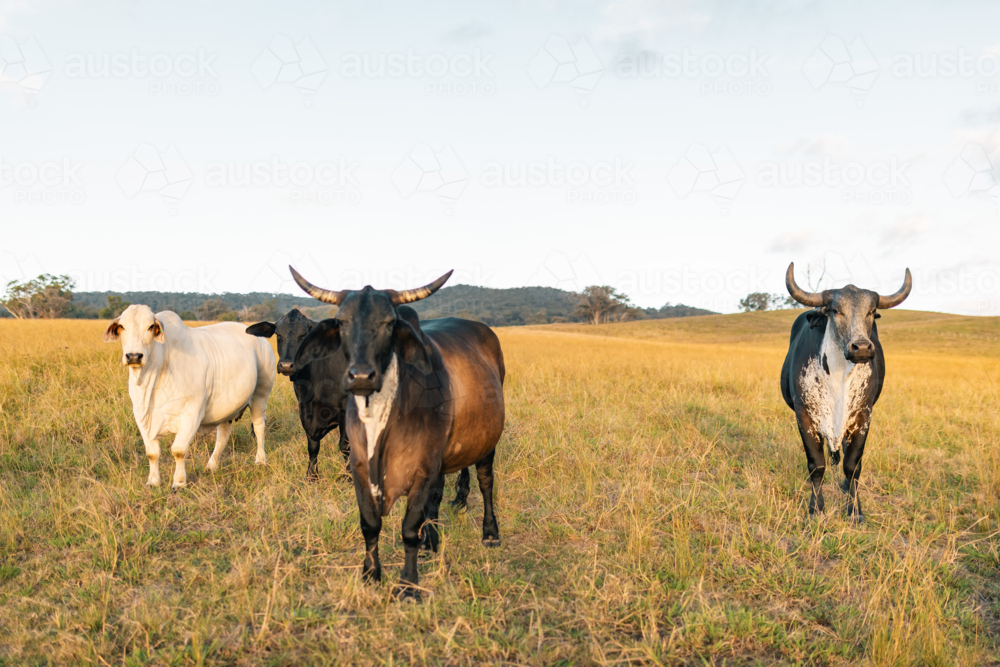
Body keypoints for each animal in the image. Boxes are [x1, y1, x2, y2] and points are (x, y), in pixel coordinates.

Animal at [103, 304, 276, 489]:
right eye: (122, 326)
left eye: (150, 327)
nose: (134, 356)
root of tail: (260, 339)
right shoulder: (142, 417)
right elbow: (152, 453)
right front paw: (153, 482)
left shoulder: (192, 414)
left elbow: (178, 451)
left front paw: (179, 483)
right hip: (227, 407)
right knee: (223, 433)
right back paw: (212, 465)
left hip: (261, 394)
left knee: (258, 427)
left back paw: (260, 460)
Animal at [290, 267, 505, 599]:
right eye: (341, 321)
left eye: (390, 323)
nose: (361, 376)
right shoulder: (360, 469)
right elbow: (369, 524)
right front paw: (371, 574)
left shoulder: (422, 470)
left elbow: (409, 528)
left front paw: (408, 584)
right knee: (438, 495)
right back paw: (433, 540)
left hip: (486, 443)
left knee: (485, 483)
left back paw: (490, 533)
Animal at [780, 263, 911, 521]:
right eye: (835, 310)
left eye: (871, 311)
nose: (861, 347)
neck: (838, 378)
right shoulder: (804, 416)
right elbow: (817, 465)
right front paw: (816, 509)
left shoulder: (863, 417)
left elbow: (853, 466)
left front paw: (854, 510)